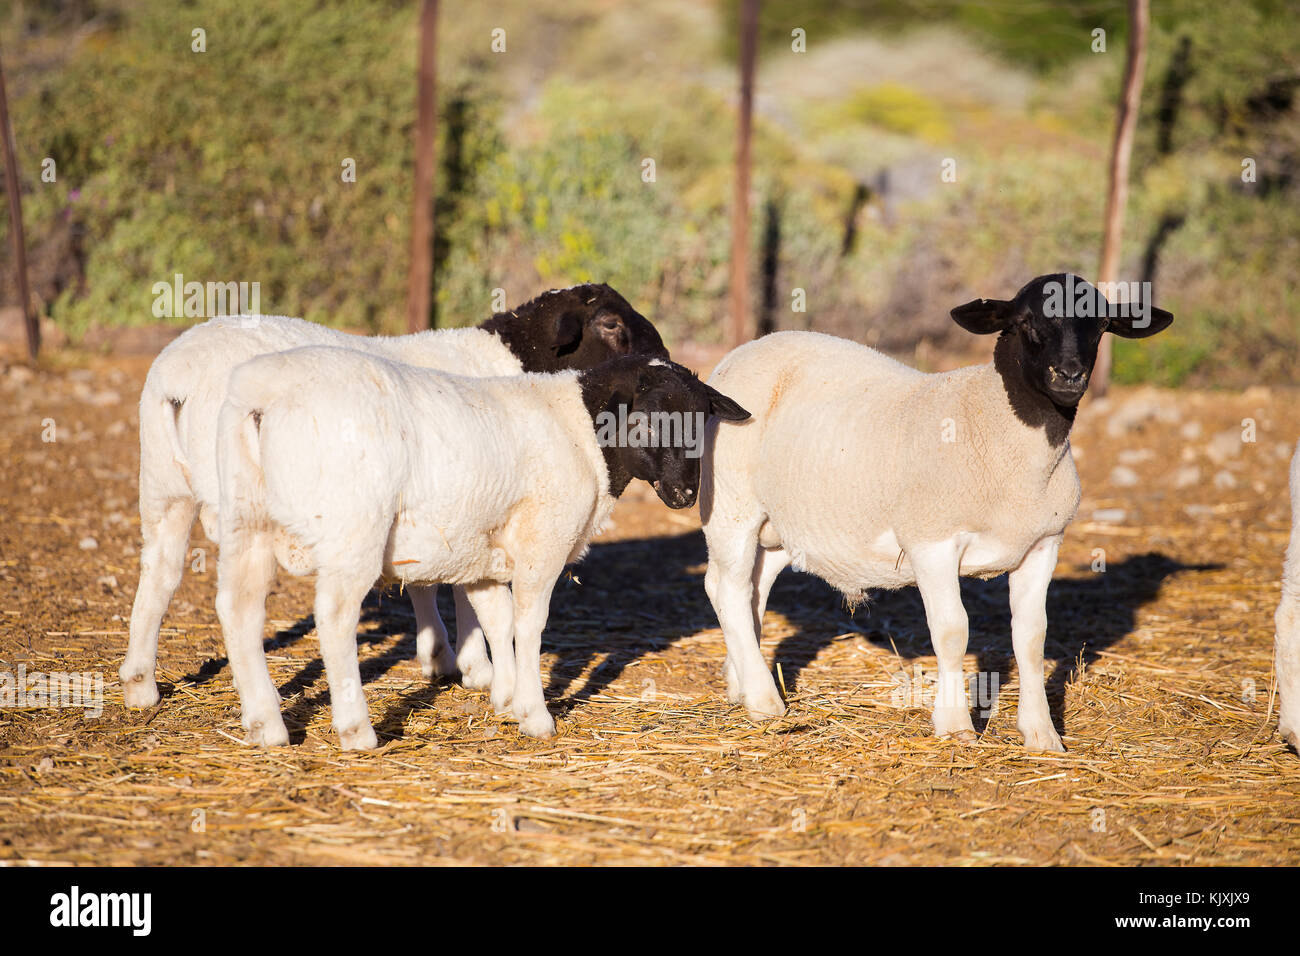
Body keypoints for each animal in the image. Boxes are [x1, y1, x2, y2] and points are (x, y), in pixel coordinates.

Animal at [120, 284, 667, 709]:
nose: (662, 358)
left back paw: (141, 685)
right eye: (611, 324)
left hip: (163, 489)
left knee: (160, 573)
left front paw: (440, 655)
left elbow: (425, 578)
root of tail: (179, 381)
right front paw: (478, 667)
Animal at [214, 348, 750, 748]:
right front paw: (535, 714)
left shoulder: (485, 554)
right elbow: (529, 624)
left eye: (701, 420)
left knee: (238, 610)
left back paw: (265, 725)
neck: (581, 432)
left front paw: (507, 699)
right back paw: (356, 729)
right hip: (353, 529)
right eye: (650, 417)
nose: (685, 494)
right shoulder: (543, 541)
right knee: (334, 618)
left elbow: (497, 621)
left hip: (245, 521)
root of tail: (263, 399)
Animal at [699, 273, 1173, 752]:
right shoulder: (931, 541)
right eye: (1024, 322)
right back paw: (764, 702)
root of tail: (745, 350)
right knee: (729, 590)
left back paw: (742, 684)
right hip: (730, 507)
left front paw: (1042, 734)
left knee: (750, 589)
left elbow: (1032, 636)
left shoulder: (1043, 544)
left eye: (1102, 325)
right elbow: (952, 631)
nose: (1070, 375)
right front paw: (956, 726)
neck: (997, 425)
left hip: (781, 525)